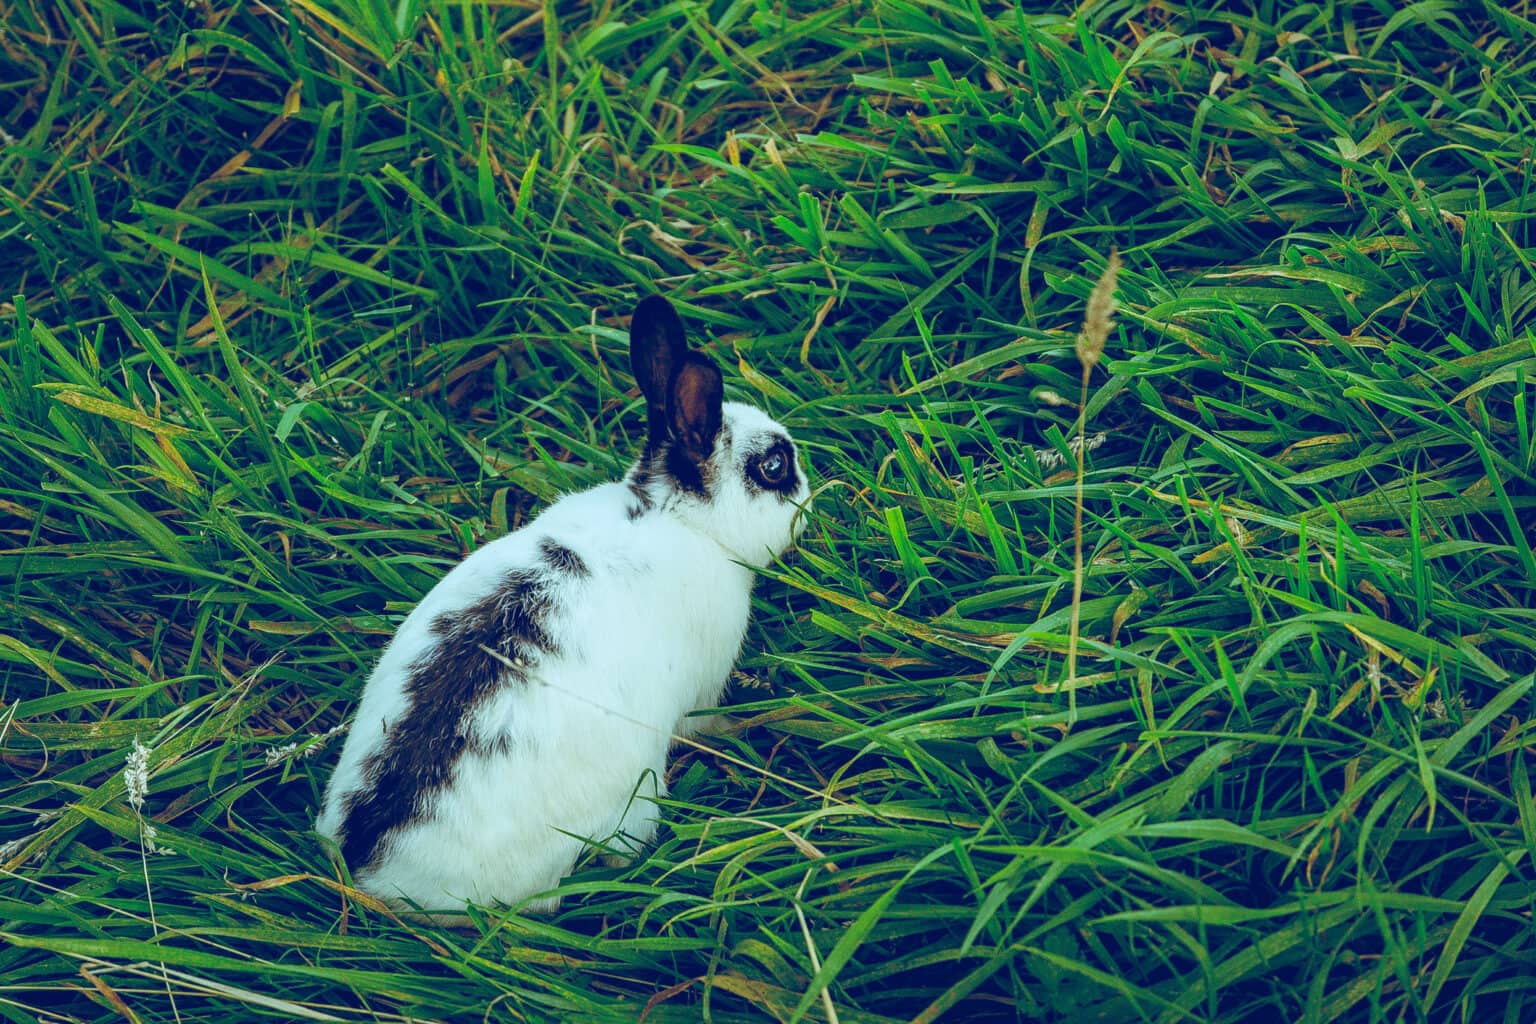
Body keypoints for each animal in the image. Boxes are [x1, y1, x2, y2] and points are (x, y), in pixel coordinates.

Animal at [314, 294, 809, 923]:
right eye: (773, 467)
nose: (810, 495)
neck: (674, 517)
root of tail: (380, 877)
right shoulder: (704, 685)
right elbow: (705, 720)